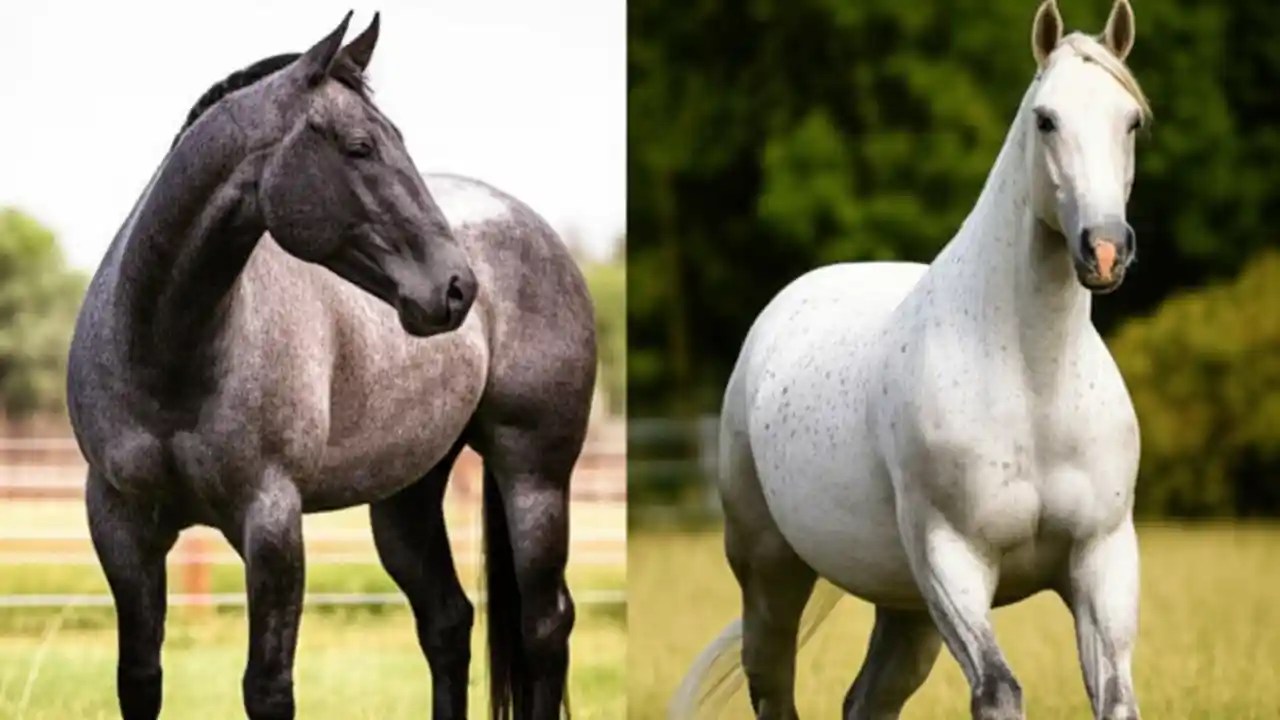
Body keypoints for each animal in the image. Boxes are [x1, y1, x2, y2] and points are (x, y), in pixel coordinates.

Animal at [65, 12, 595, 720]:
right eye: (360, 146)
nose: (457, 287)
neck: (166, 356)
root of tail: (531, 227)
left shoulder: (270, 523)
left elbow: (268, 688)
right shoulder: (119, 525)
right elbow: (139, 680)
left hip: (534, 475)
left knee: (544, 628)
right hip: (406, 497)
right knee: (448, 622)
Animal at [671, 2, 1149, 718]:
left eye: (1131, 120)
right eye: (1046, 119)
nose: (1105, 250)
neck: (1032, 380)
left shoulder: (1102, 557)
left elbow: (1115, 697)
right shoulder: (952, 558)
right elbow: (998, 690)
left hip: (906, 608)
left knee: (866, 700)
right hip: (772, 572)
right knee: (772, 681)